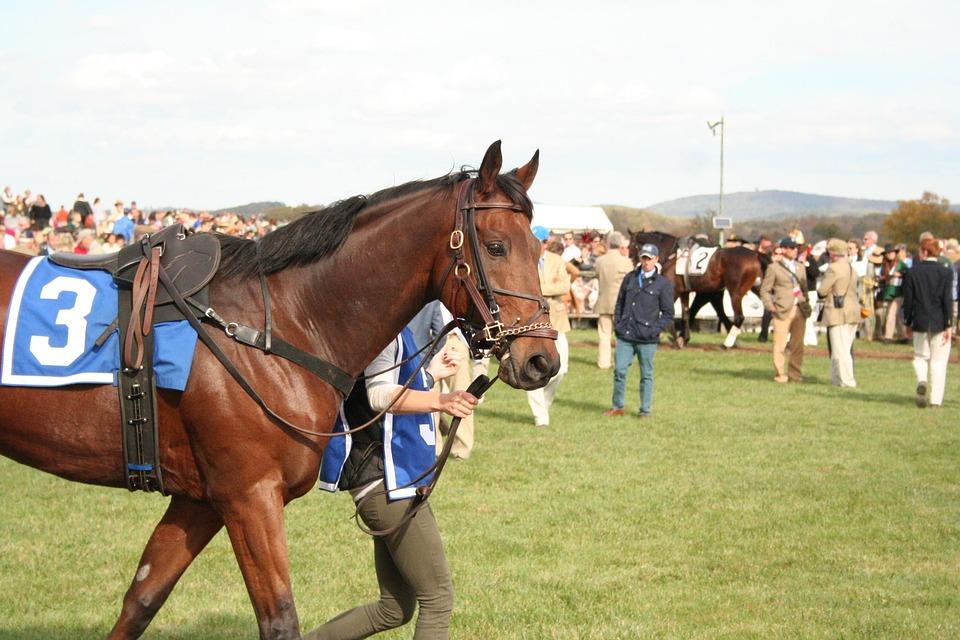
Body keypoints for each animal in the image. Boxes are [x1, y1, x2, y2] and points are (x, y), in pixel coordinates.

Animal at [0, 141, 560, 640]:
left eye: (539, 248)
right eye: (496, 246)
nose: (542, 360)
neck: (279, 323)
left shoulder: (200, 499)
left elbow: (142, 599)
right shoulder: (250, 495)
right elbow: (280, 620)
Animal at [629, 231, 768, 348]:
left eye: (631, 246)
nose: (635, 264)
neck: (672, 254)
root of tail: (755, 254)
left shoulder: (674, 290)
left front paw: (675, 338)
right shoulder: (684, 292)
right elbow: (685, 314)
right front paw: (683, 338)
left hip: (735, 292)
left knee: (739, 317)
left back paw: (727, 343)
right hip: (758, 287)